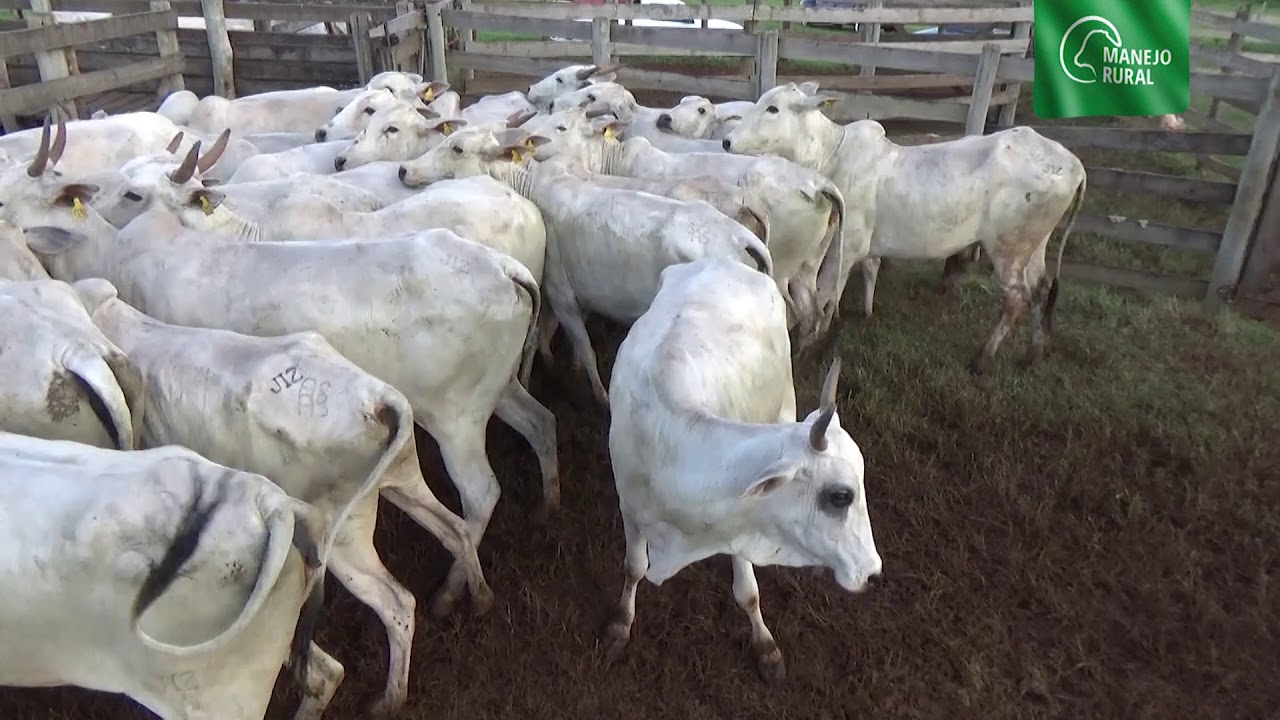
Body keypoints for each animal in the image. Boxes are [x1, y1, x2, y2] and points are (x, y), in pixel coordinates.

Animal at [603, 256, 882, 682]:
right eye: (840, 496)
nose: (872, 572)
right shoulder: (630, 507)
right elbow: (634, 567)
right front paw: (620, 624)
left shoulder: (740, 521)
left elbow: (747, 593)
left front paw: (765, 646)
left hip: (785, 402)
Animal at [721, 81, 1087, 373]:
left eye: (773, 108)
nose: (726, 141)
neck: (830, 157)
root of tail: (1074, 163)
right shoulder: (862, 250)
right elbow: (867, 272)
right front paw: (864, 313)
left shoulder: (846, 247)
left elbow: (825, 297)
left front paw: (810, 347)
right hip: (1035, 245)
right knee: (1041, 290)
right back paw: (1031, 354)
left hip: (1009, 247)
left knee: (1016, 299)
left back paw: (983, 359)